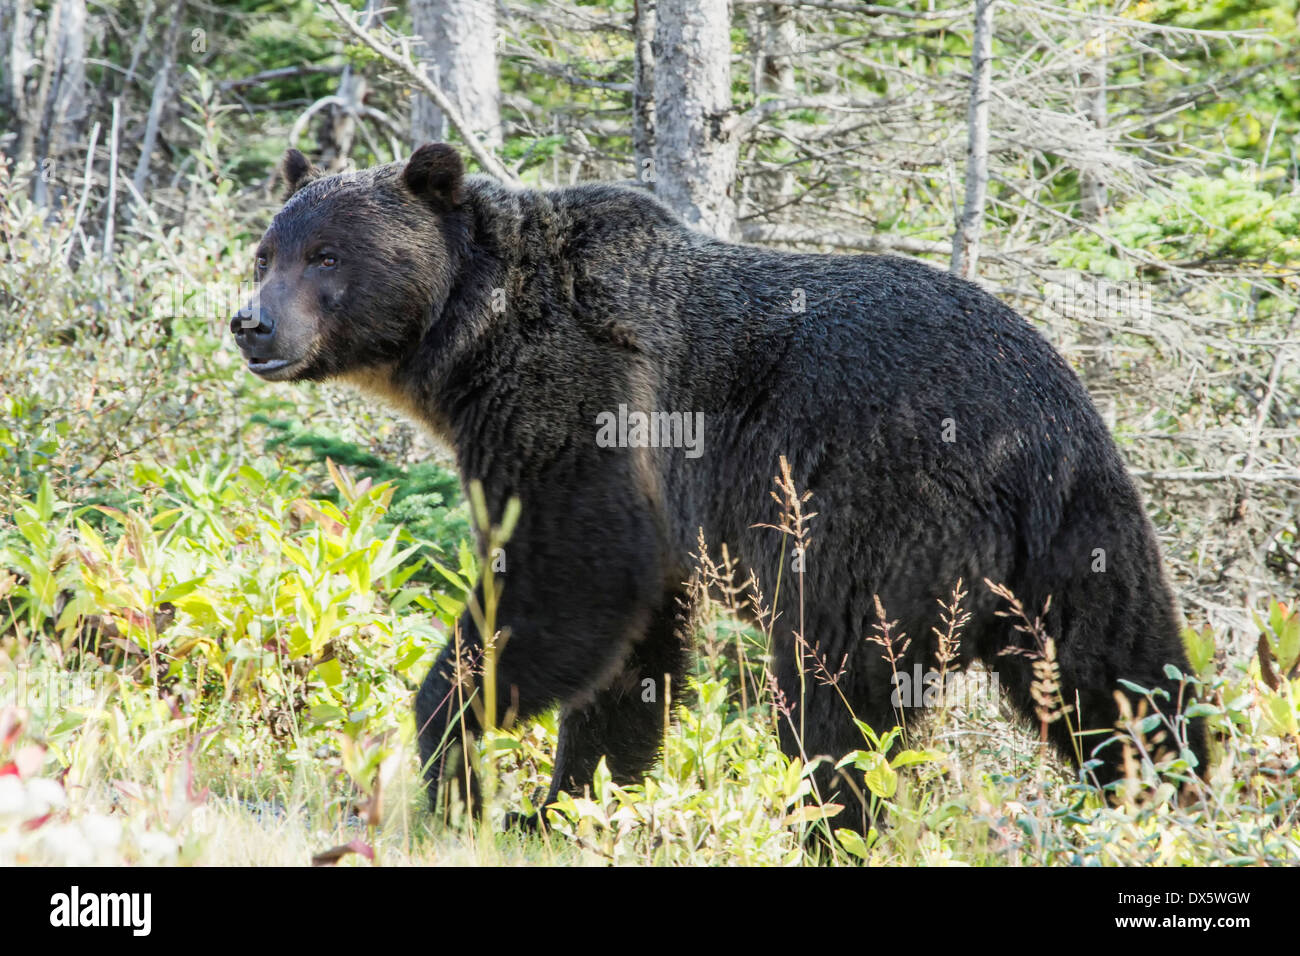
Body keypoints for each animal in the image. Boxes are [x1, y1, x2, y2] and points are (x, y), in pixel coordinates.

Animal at [231, 143, 1207, 834]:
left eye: (327, 255)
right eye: (265, 253)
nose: (251, 324)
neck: (474, 342)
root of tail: (1037, 428)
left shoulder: (581, 406)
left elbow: (565, 584)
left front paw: (457, 759)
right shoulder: (647, 509)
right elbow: (633, 658)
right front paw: (569, 803)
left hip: (869, 517)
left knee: (833, 693)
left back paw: (824, 824)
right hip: (1087, 540)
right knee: (1123, 681)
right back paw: (1177, 798)